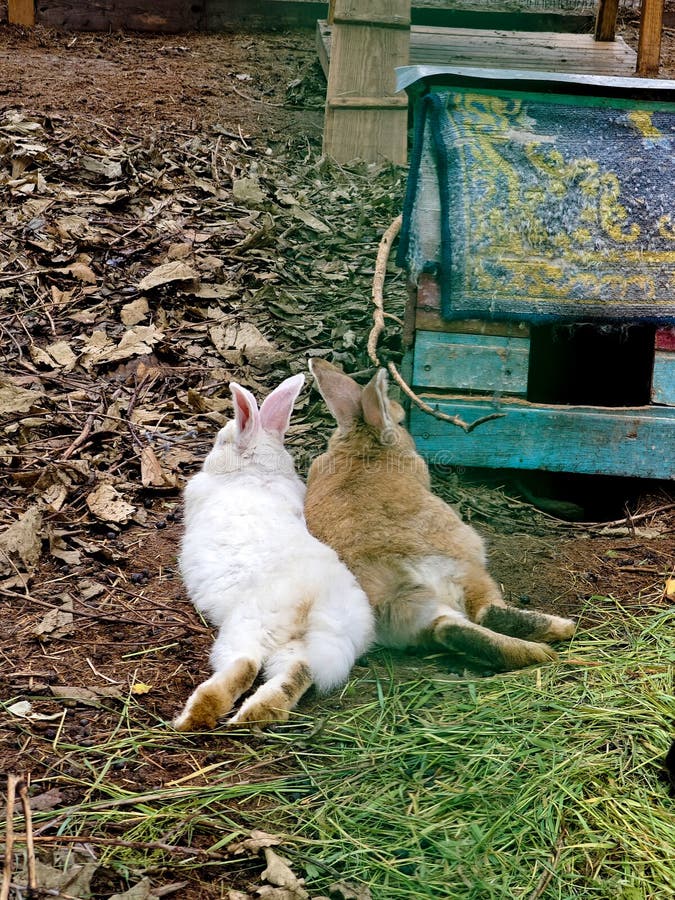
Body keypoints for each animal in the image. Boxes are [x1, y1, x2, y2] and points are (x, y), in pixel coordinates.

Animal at [173, 372, 374, 732]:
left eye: (222, 442)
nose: (211, 452)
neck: (256, 472)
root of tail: (317, 601)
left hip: (249, 625)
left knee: (245, 665)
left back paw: (195, 716)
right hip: (308, 647)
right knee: (297, 674)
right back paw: (255, 714)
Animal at [304, 358, 575, 672]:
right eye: (399, 422)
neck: (362, 450)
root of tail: (392, 592)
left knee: (447, 628)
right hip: (466, 571)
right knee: (485, 612)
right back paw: (559, 632)